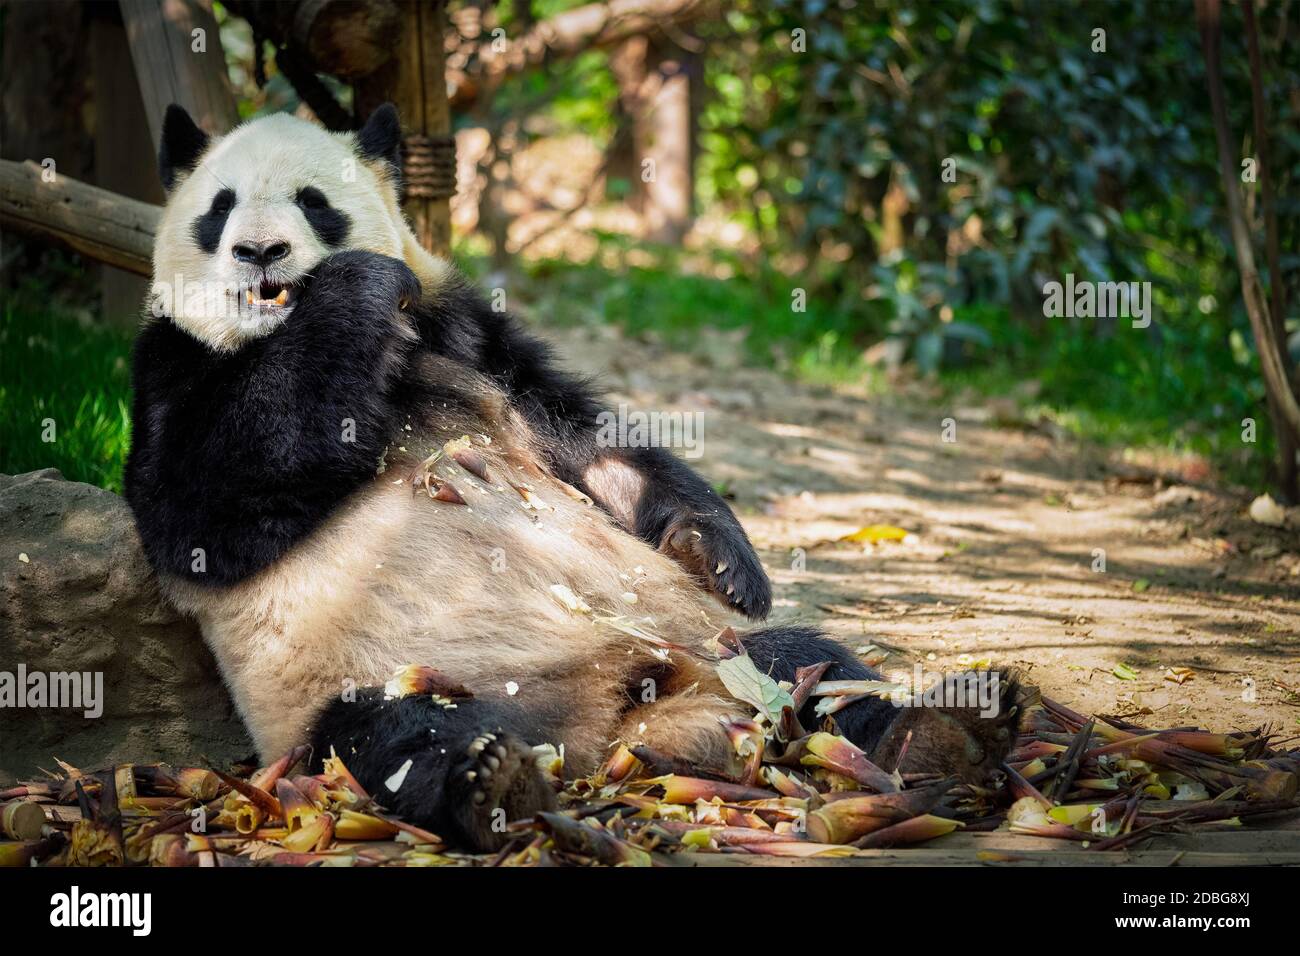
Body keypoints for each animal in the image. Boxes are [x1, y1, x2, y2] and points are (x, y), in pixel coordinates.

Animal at [124, 104, 1019, 851]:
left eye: (314, 202)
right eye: (219, 208)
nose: (258, 252)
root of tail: (614, 726)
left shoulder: (471, 337)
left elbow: (595, 450)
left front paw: (720, 554)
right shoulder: (172, 366)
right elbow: (205, 507)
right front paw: (354, 288)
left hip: (708, 645)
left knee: (815, 664)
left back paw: (947, 731)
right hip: (367, 683)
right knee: (401, 734)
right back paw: (493, 784)